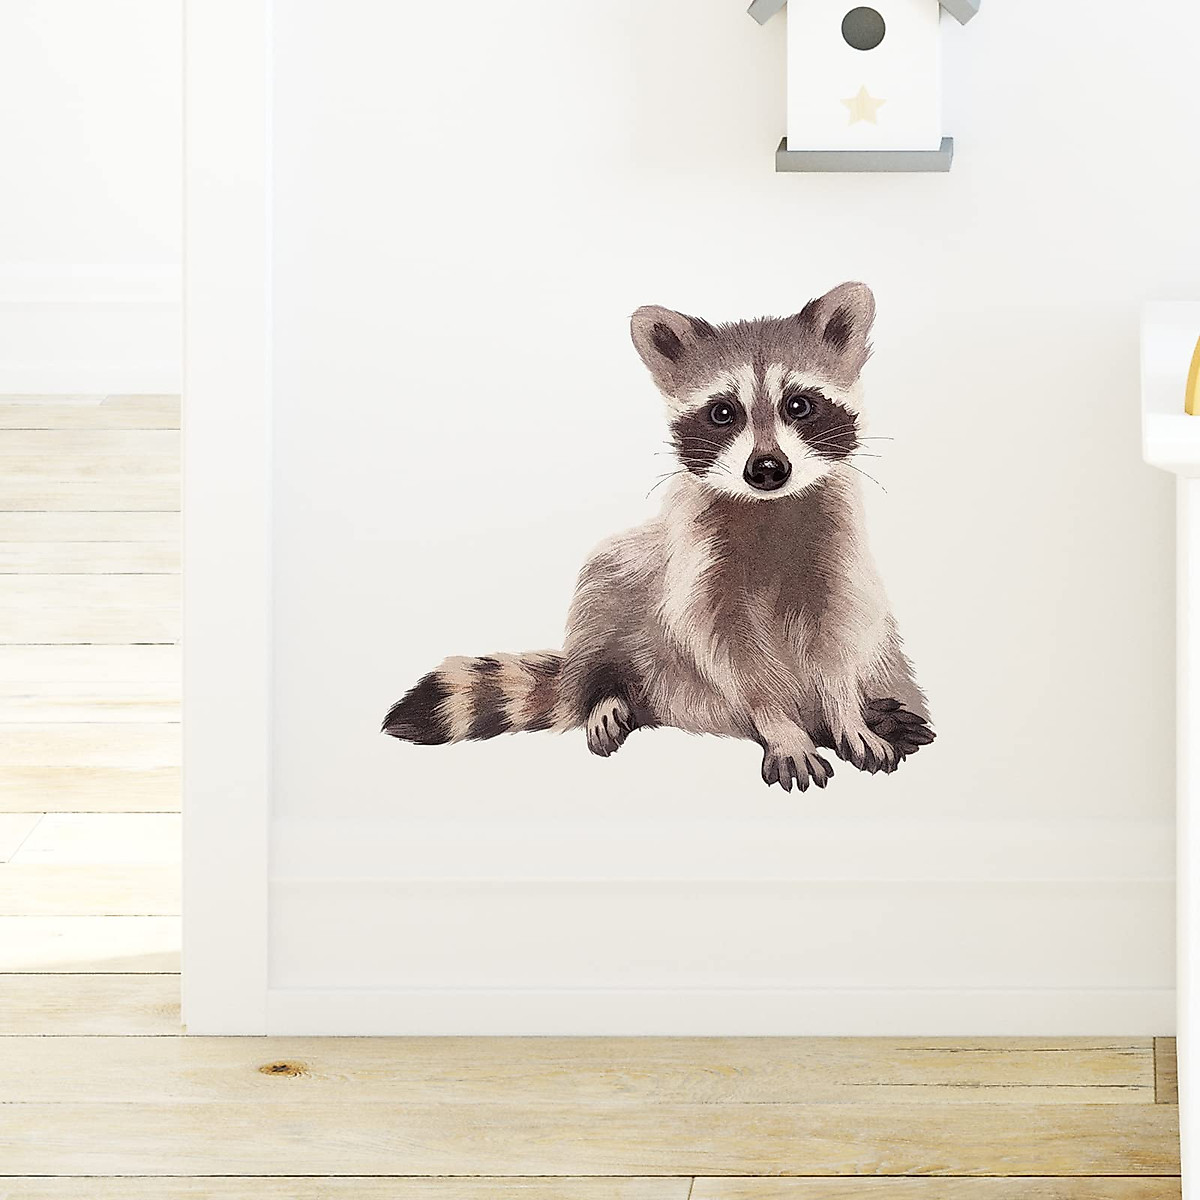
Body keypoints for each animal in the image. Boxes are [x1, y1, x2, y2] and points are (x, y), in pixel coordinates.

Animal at [383, 281, 933, 791]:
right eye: (722, 413)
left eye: (799, 405)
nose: (767, 469)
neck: (768, 508)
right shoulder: (697, 569)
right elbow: (734, 658)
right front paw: (780, 726)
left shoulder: (838, 556)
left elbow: (837, 641)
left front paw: (845, 712)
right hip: (621, 588)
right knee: (602, 595)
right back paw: (607, 695)